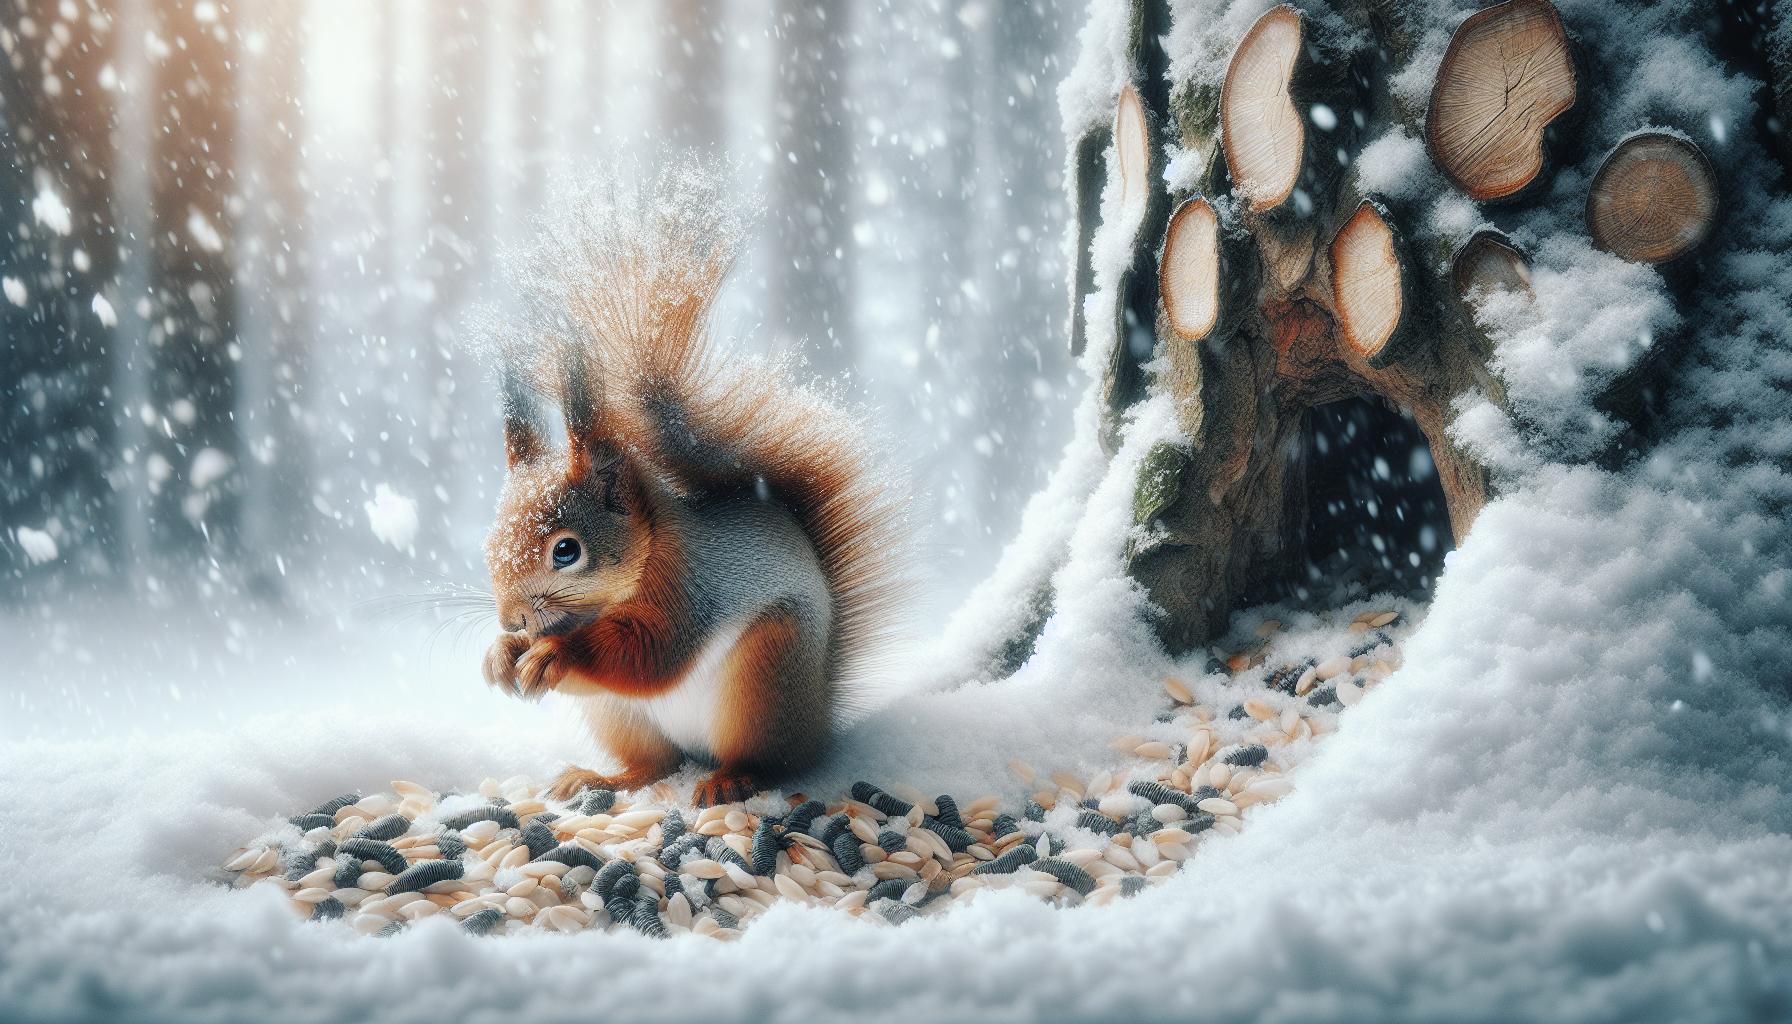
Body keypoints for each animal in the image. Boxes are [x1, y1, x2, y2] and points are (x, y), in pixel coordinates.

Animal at [480, 173, 908, 807]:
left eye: (567, 550)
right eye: (488, 548)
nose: (511, 621)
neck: (646, 551)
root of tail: (818, 716)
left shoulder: (691, 587)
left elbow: (650, 655)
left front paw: (555, 653)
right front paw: (501, 655)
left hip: (763, 675)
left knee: (771, 760)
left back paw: (735, 778)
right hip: (622, 717)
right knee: (656, 763)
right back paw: (603, 777)